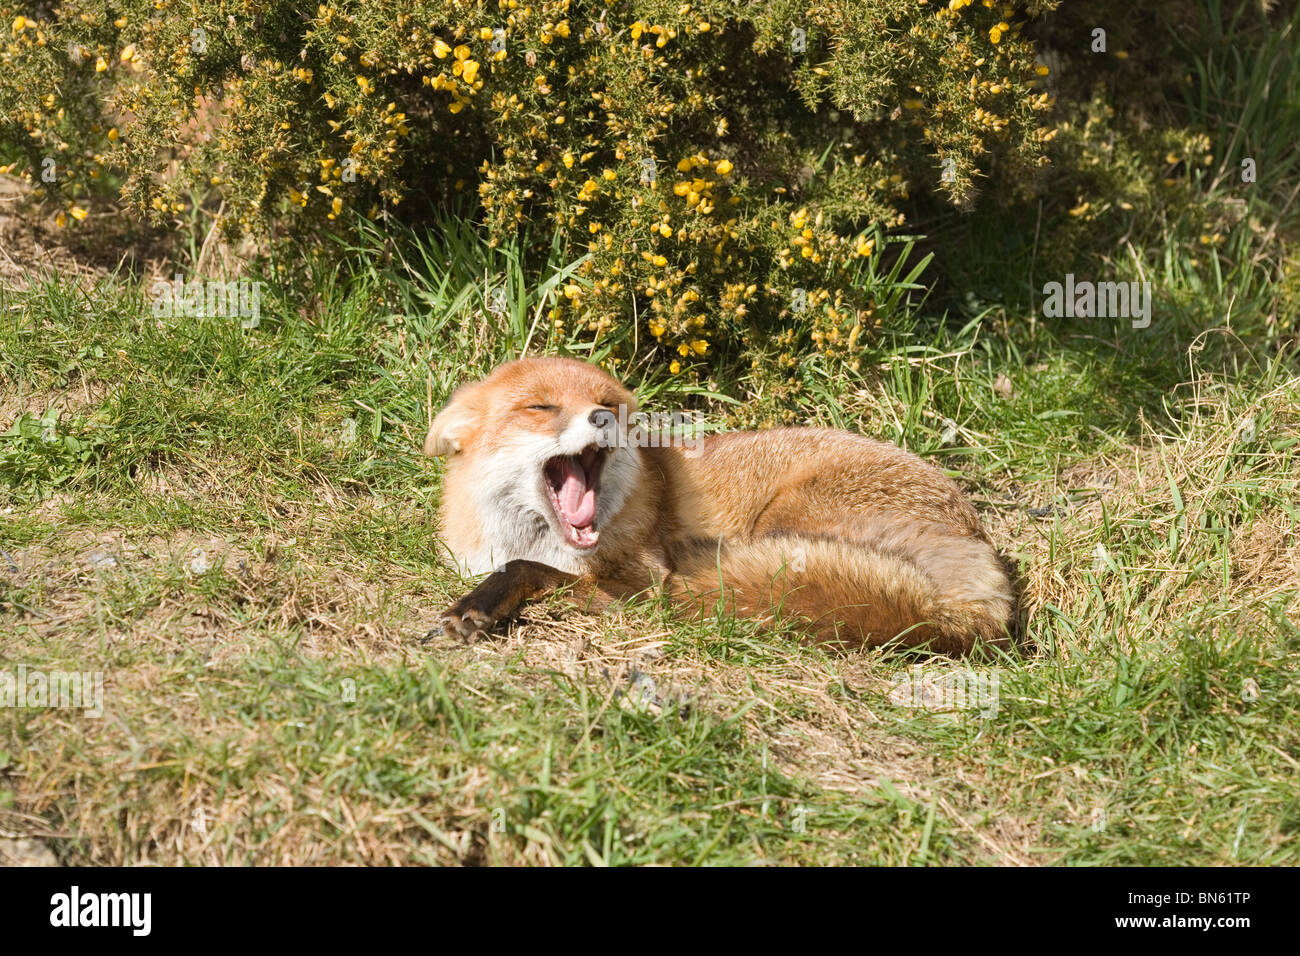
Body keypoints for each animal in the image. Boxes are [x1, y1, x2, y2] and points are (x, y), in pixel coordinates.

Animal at [424, 356, 1015, 655]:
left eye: (607, 402)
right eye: (541, 407)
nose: (602, 418)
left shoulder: (640, 581)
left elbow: (526, 568)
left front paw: (481, 603)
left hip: (784, 516)